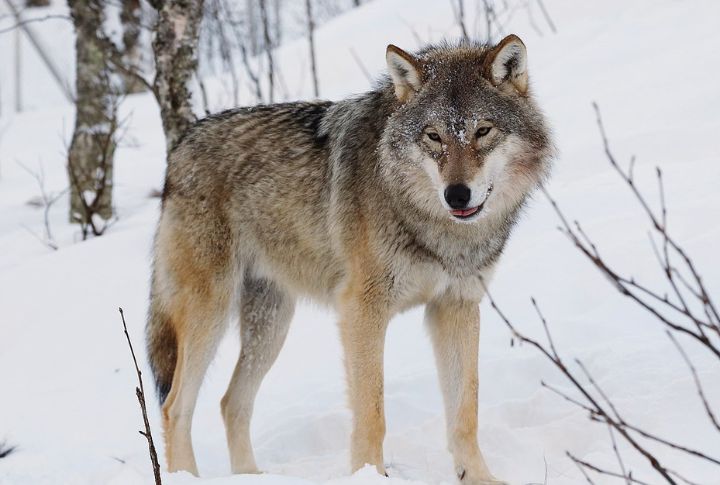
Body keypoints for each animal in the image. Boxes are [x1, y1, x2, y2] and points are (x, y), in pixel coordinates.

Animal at [146, 34, 552, 484]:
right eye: (433, 136)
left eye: (482, 131)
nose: (457, 195)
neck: (435, 228)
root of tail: (180, 146)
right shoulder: (362, 309)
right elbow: (372, 413)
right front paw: (369, 473)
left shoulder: (456, 306)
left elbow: (466, 411)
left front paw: (479, 477)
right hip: (211, 314)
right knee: (175, 406)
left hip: (270, 326)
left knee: (231, 402)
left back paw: (250, 475)